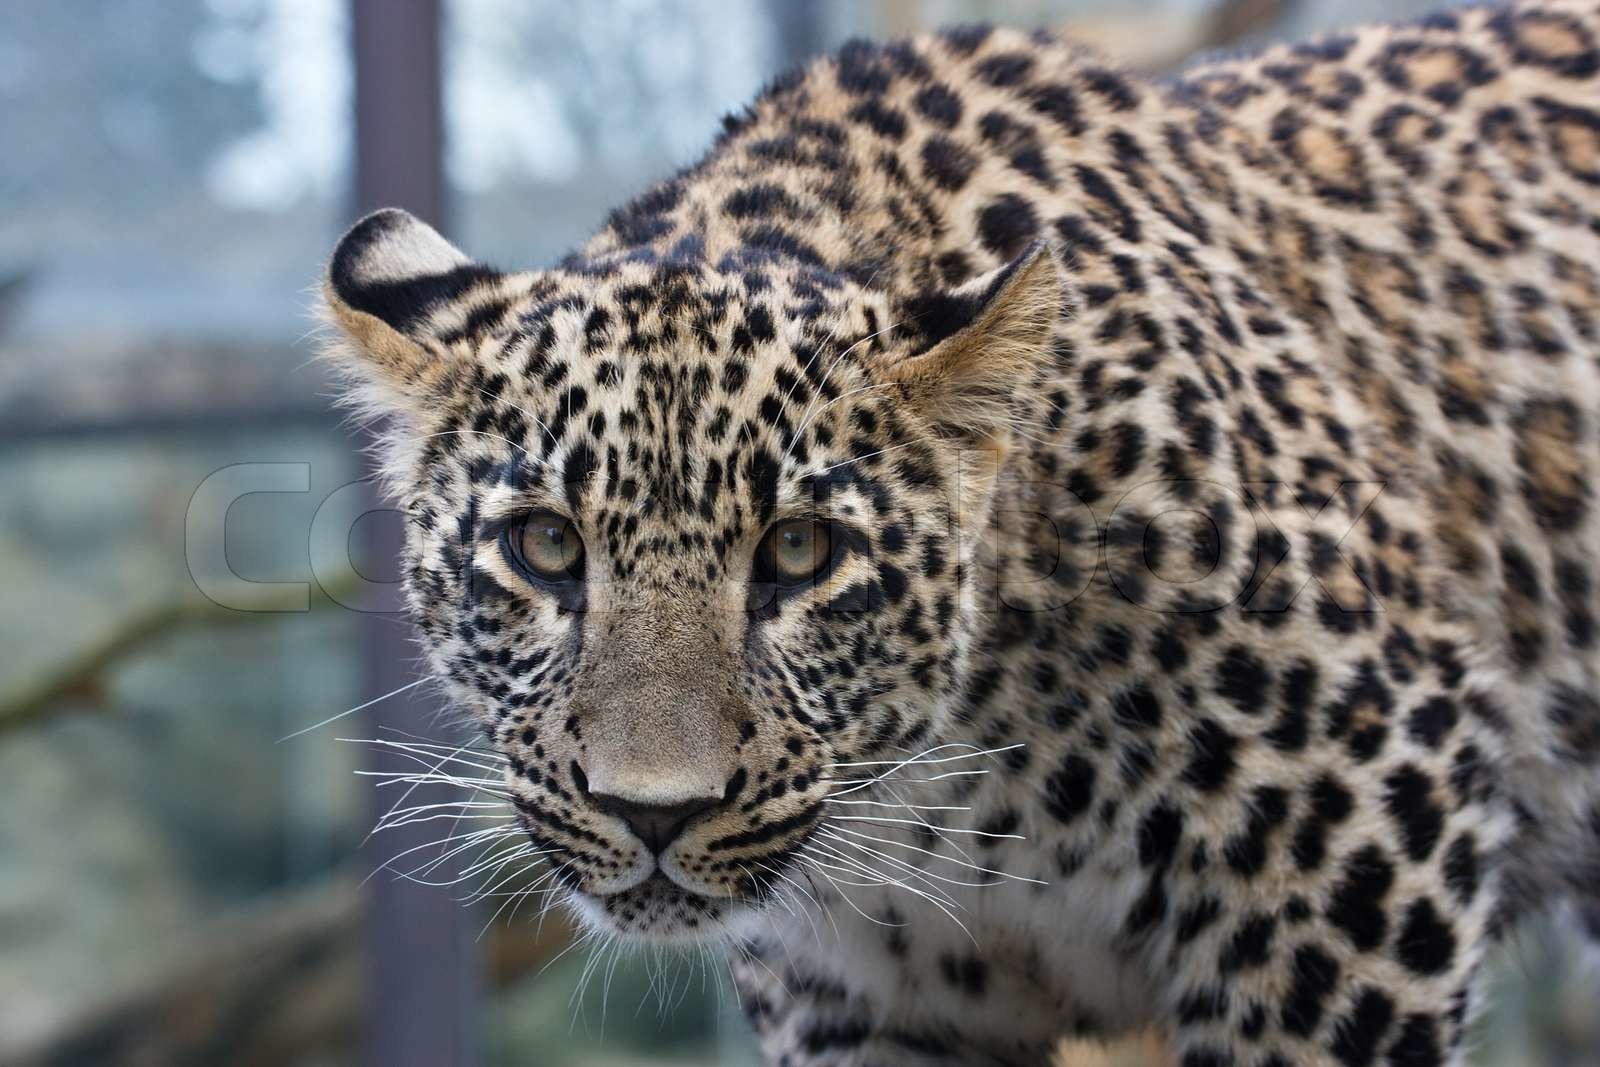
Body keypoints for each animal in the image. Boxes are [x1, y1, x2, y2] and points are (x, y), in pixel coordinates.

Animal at [318, 2, 1600, 1064]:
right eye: (544, 547)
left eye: (798, 552)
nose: (653, 810)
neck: (943, 796)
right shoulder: (853, 1001)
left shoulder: (1359, 833)